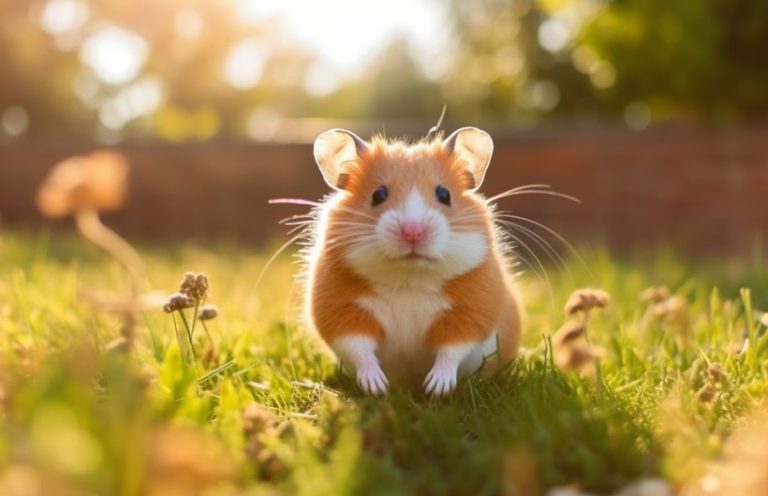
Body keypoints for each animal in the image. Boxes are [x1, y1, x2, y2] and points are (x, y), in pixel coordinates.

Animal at [304, 127, 522, 396]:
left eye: (444, 194)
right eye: (378, 195)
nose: (413, 232)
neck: (408, 278)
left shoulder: (470, 312)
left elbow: (452, 350)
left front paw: (436, 388)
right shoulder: (343, 312)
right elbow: (360, 348)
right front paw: (377, 387)